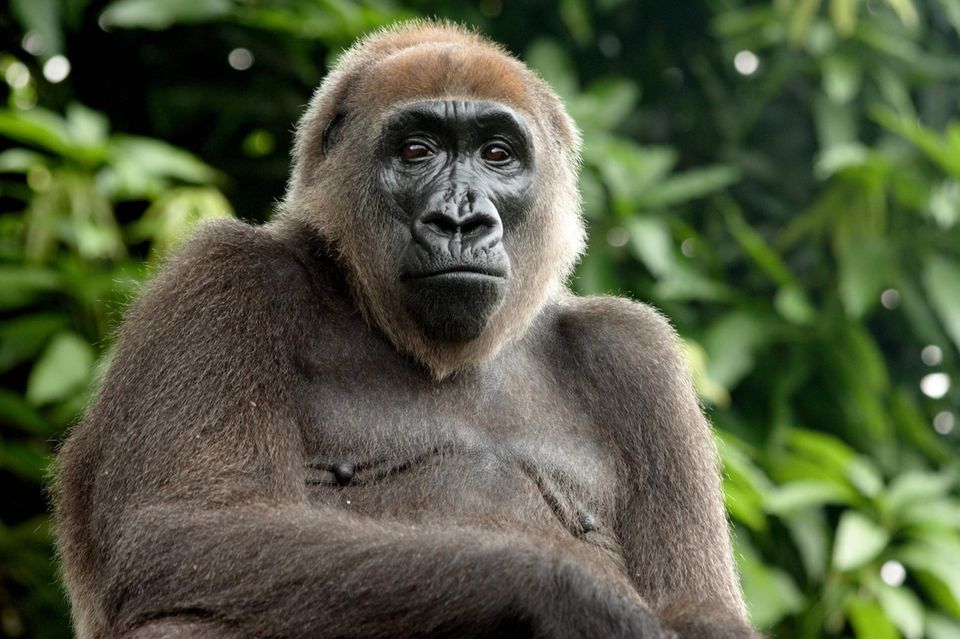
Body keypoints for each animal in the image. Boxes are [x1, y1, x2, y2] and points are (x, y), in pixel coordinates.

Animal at [53, 21, 759, 639]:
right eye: (417, 150)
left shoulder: (634, 353)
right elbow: (183, 526)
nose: (461, 221)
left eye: (497, 155)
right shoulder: (223, 276)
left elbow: (700, 605)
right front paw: (573, 598)